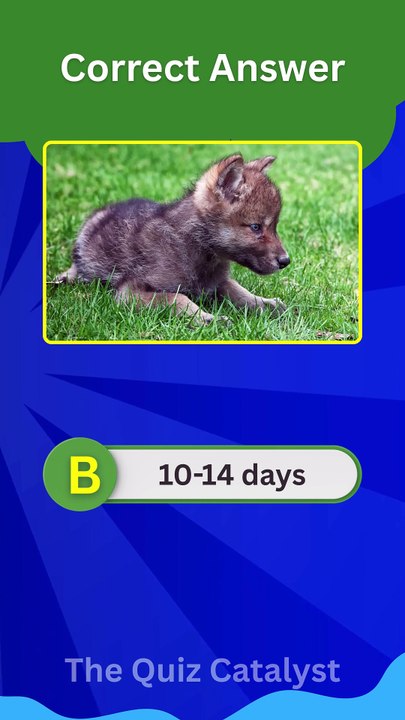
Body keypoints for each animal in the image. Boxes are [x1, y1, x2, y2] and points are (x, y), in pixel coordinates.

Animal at [56, 153, 290, 323]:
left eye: (274, 226)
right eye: (256, 227)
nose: (286, 261)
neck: (196, 249)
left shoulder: (218, 282)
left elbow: (240, 291)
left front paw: (266, 303)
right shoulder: (129, 291)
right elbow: (176, 298)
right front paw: (207, 318)